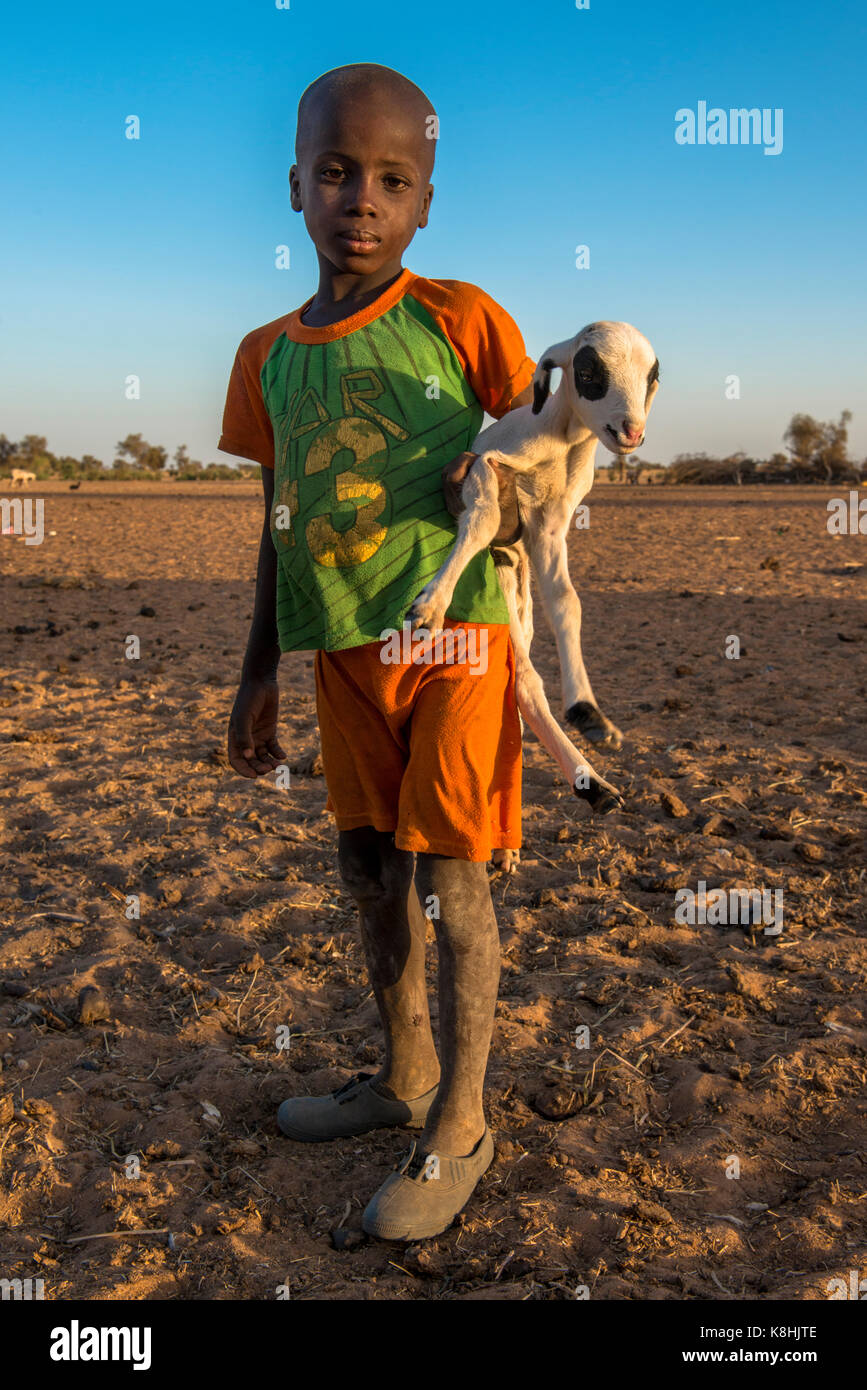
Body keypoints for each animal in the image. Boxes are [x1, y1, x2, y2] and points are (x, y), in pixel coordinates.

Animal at [410, 320, 660, 824]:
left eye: (652, 377)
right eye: (588, 371)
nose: (631, 431)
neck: (563, 440)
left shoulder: (550, 522)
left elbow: (566, 601)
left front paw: (587, 709)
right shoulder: (489, 467)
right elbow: (483, 519)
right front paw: (430, 605)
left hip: (517, 589)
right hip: (502, 585)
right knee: (523, 678)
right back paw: (593, 785)